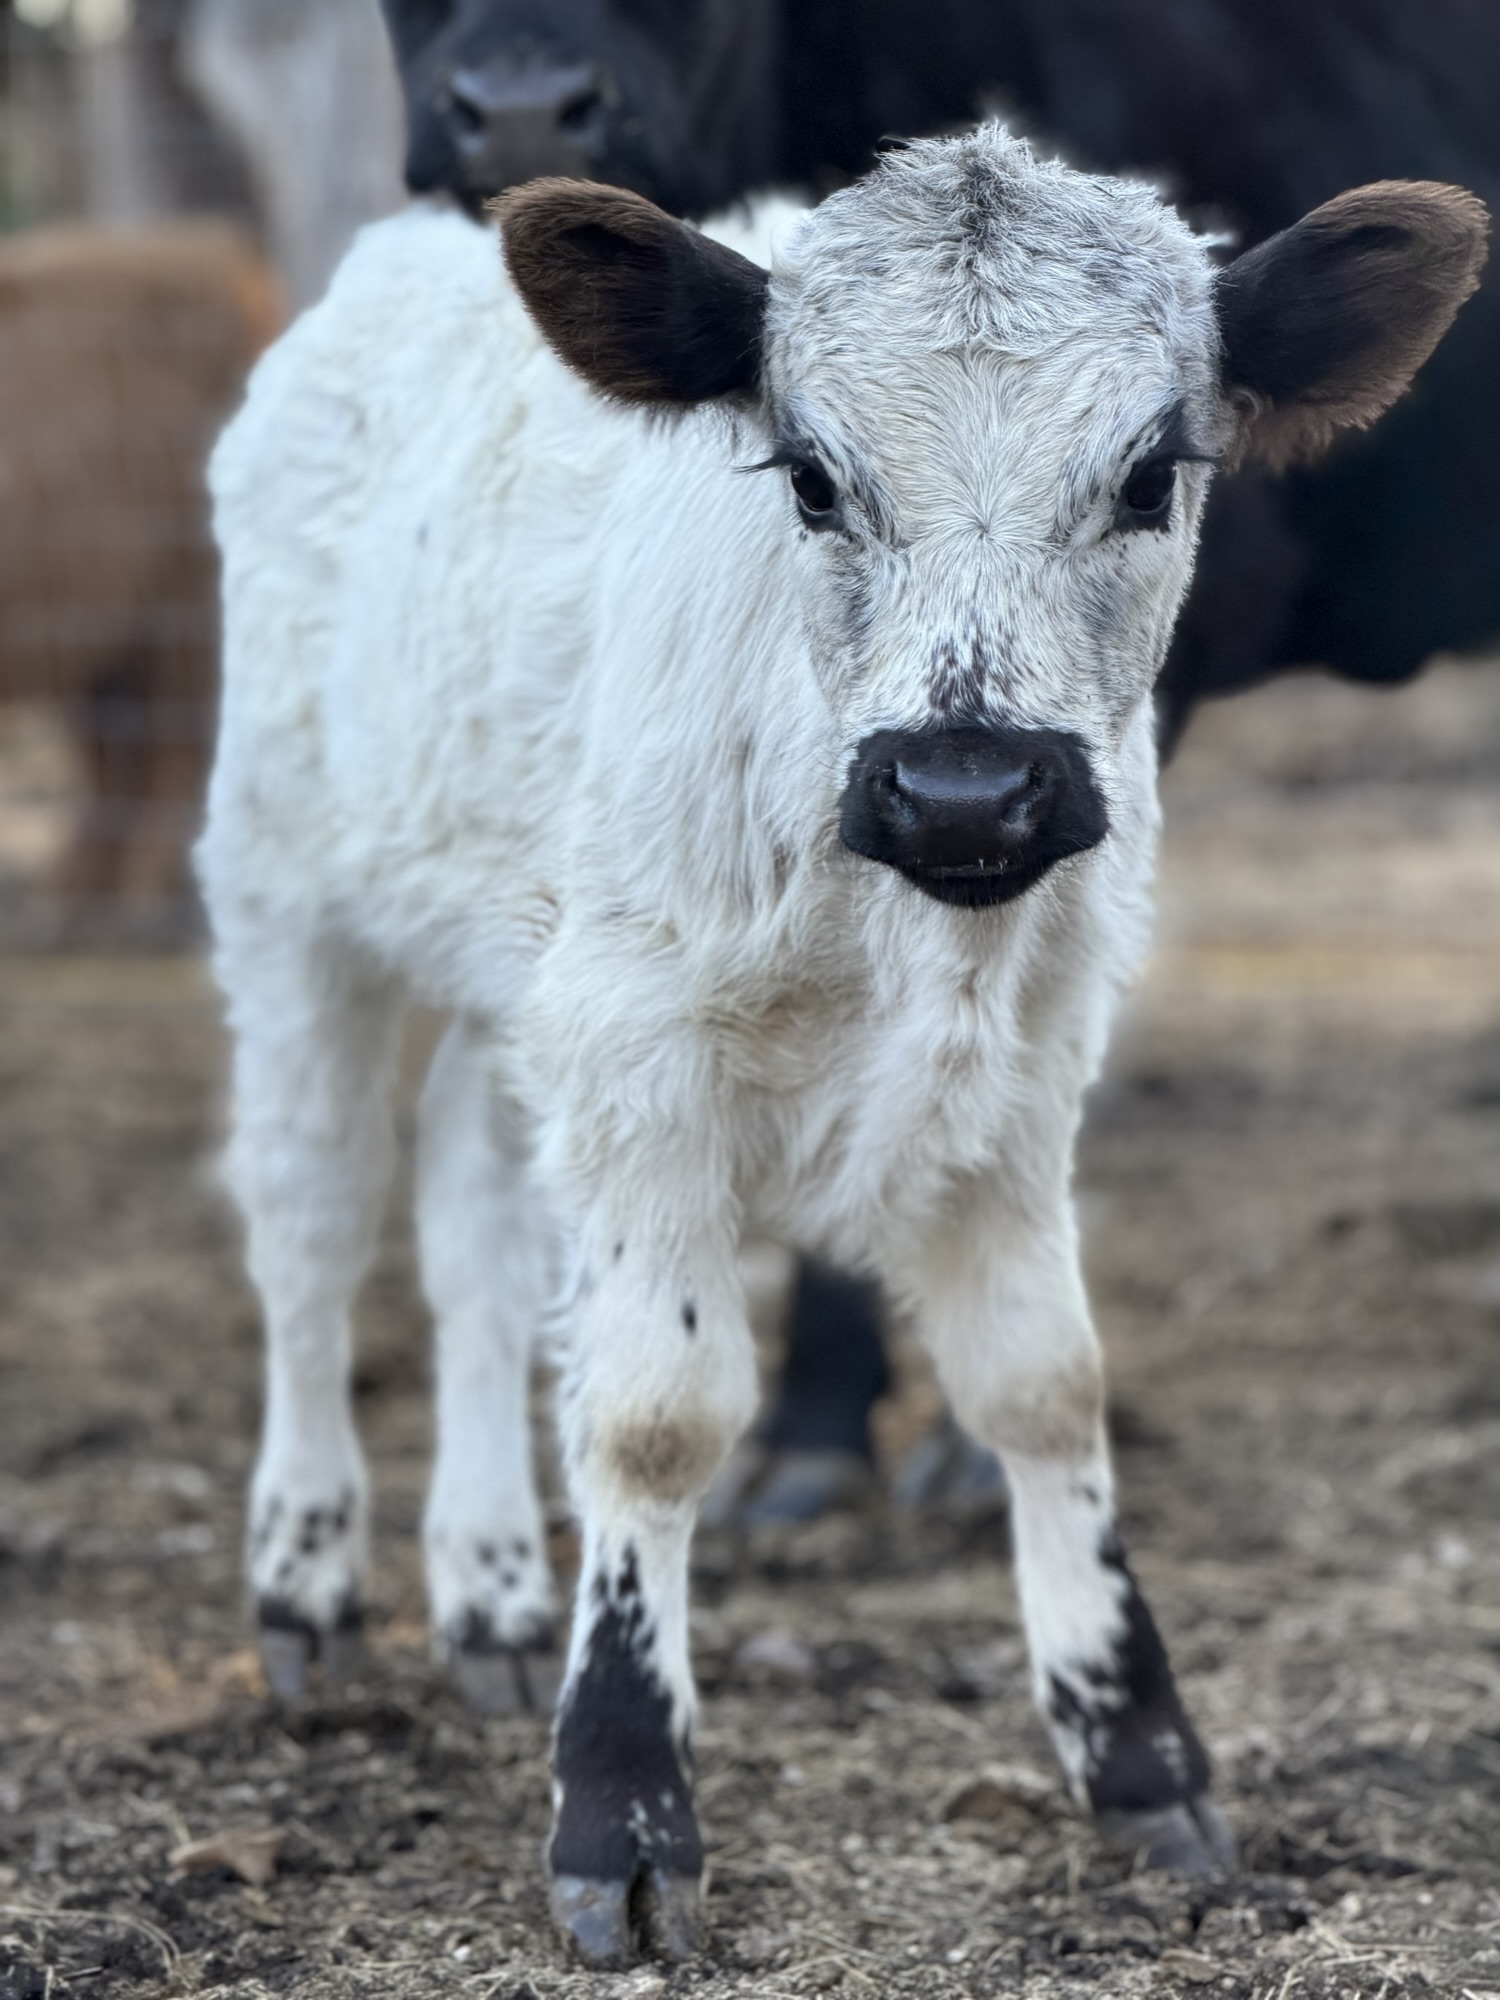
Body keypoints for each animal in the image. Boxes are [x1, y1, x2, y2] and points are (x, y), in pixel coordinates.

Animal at [199, 119, 1485, 1963]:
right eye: (807, 475)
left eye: (1151, 475)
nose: (966, 787)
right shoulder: (645, 1052)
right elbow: (655, 1411)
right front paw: (622, 1813)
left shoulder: (1028, 1064)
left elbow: (1045, 1383)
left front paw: (1140, 1759)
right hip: (291, 902)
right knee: (308, 1228)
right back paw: (304, 1575)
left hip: (514, 975)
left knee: (469, 1243)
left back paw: (494, 1592)